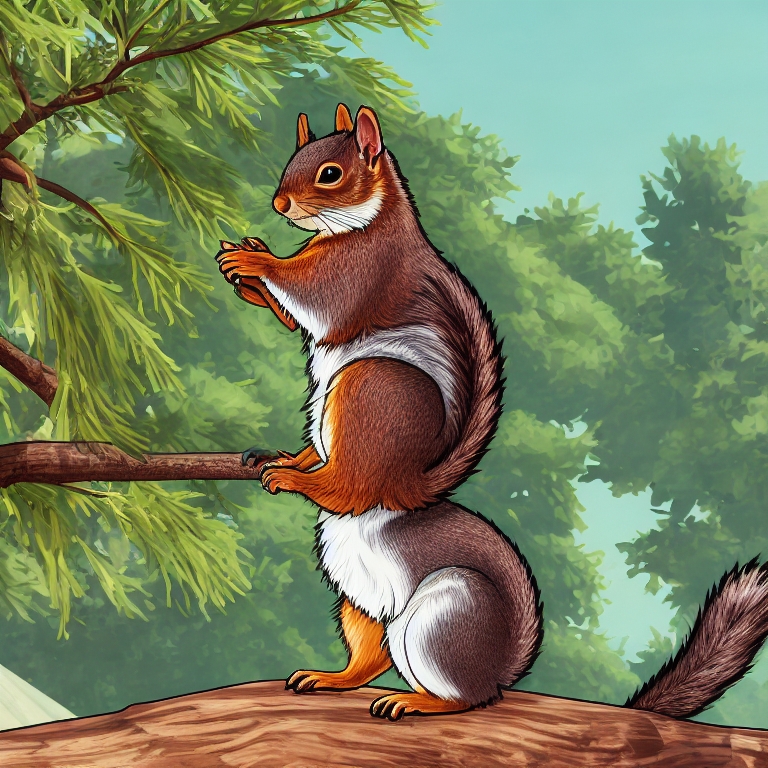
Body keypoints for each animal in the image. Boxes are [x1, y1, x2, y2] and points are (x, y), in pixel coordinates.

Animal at [216, 103, 768, 721]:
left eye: (330, 174)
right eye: (293, 159)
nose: (279, 205)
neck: (363, 224)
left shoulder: (360, 271)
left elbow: (312, 293)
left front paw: (255, 258)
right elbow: (292, 317)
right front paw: (245, 269)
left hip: (378, 420)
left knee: (351, 495)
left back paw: (416, 697)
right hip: (361, 598)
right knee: (370, 653)